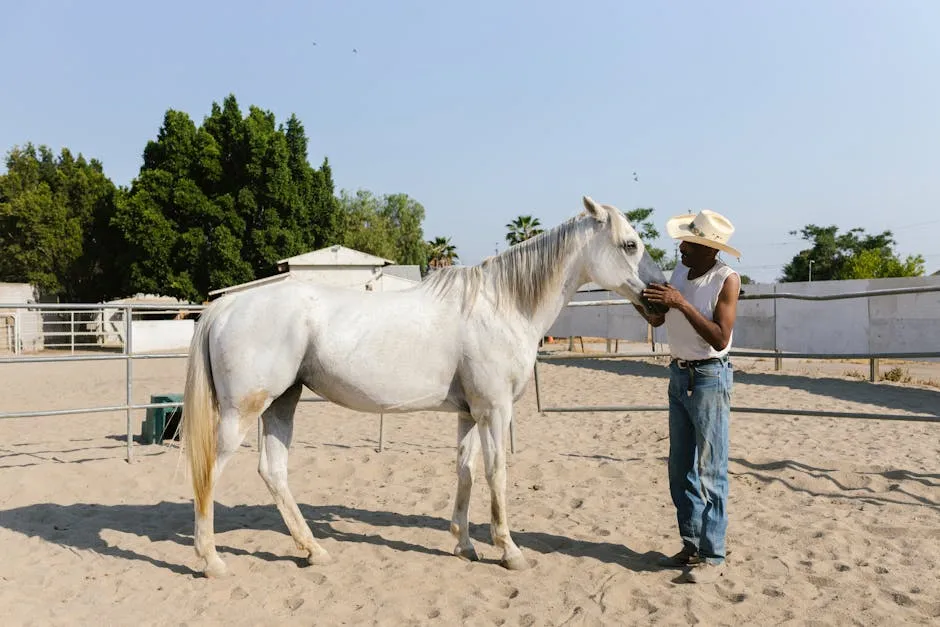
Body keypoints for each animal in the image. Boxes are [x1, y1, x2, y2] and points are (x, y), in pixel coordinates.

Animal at [182, 195, 668, 577]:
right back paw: (212, 560)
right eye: (630, 244)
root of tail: (224, 307)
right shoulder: (494, 411)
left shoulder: (470, 414)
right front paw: (509, 551)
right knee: (209, 472)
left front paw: (465, 545)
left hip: (283, 403)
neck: (502, 304)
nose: (660, 297)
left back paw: (314, 551)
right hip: (242, 413)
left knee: (274, 472)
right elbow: (497, 474)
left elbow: (466, 472)